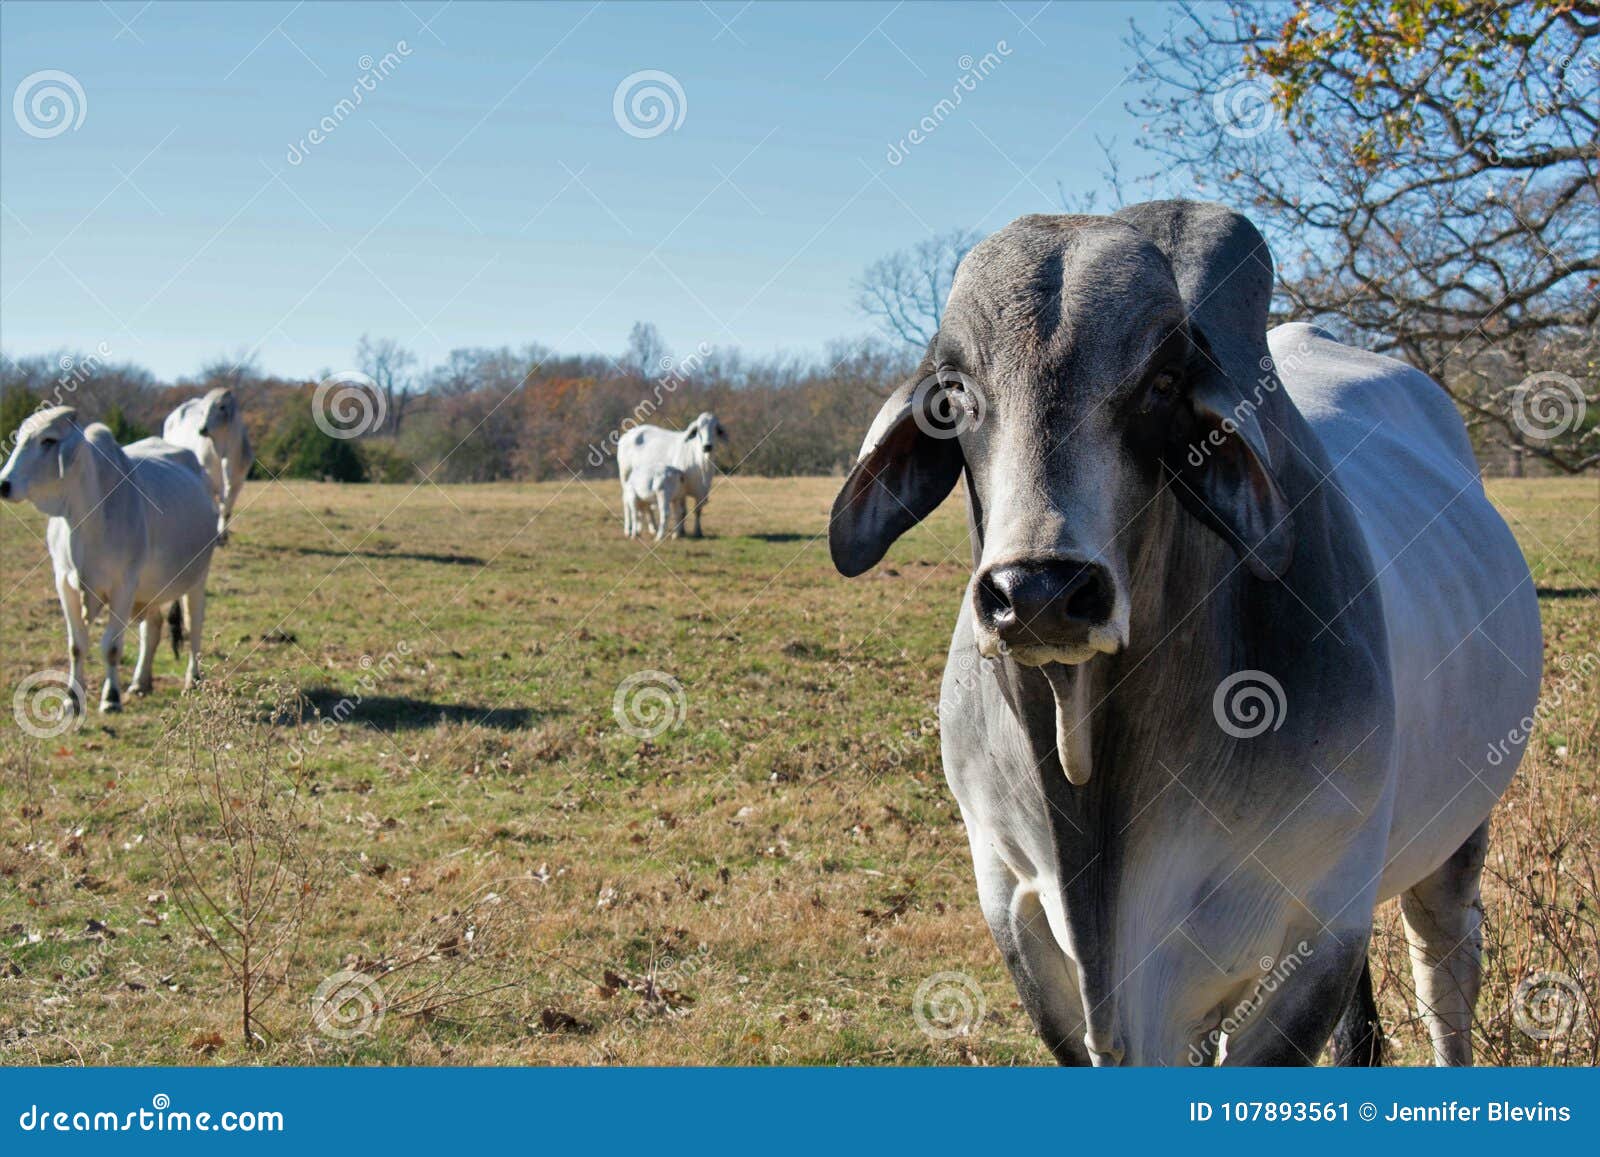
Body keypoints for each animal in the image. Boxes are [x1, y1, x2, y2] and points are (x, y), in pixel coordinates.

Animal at [0, 407, 218, 714]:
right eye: (19, 439)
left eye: (48, 440)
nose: (4, 485)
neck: (84, 518)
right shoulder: (64, 583)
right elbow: (76, 645)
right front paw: (72, 698)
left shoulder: (123, 585)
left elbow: (111, 647)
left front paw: (111, 697)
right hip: (151, 587)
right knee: (152, 628)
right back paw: (140, 683)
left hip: (197, 578)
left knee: (193, 625)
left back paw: (192, 680)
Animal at [163, 386, 253, 543]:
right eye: (203, 410)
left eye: (222, 407)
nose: (202, 429)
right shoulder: (207, 482)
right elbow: (215, 509)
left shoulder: (237, 484)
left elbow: (226, 510)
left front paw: (224, 535)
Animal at [828, 201, 1542, 1066]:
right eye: (954, 393)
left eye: (1162, 383)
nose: (1038, 591)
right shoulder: (1015, 909)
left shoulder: (1318, 926)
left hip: (1457, 839)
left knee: (1446, 979)